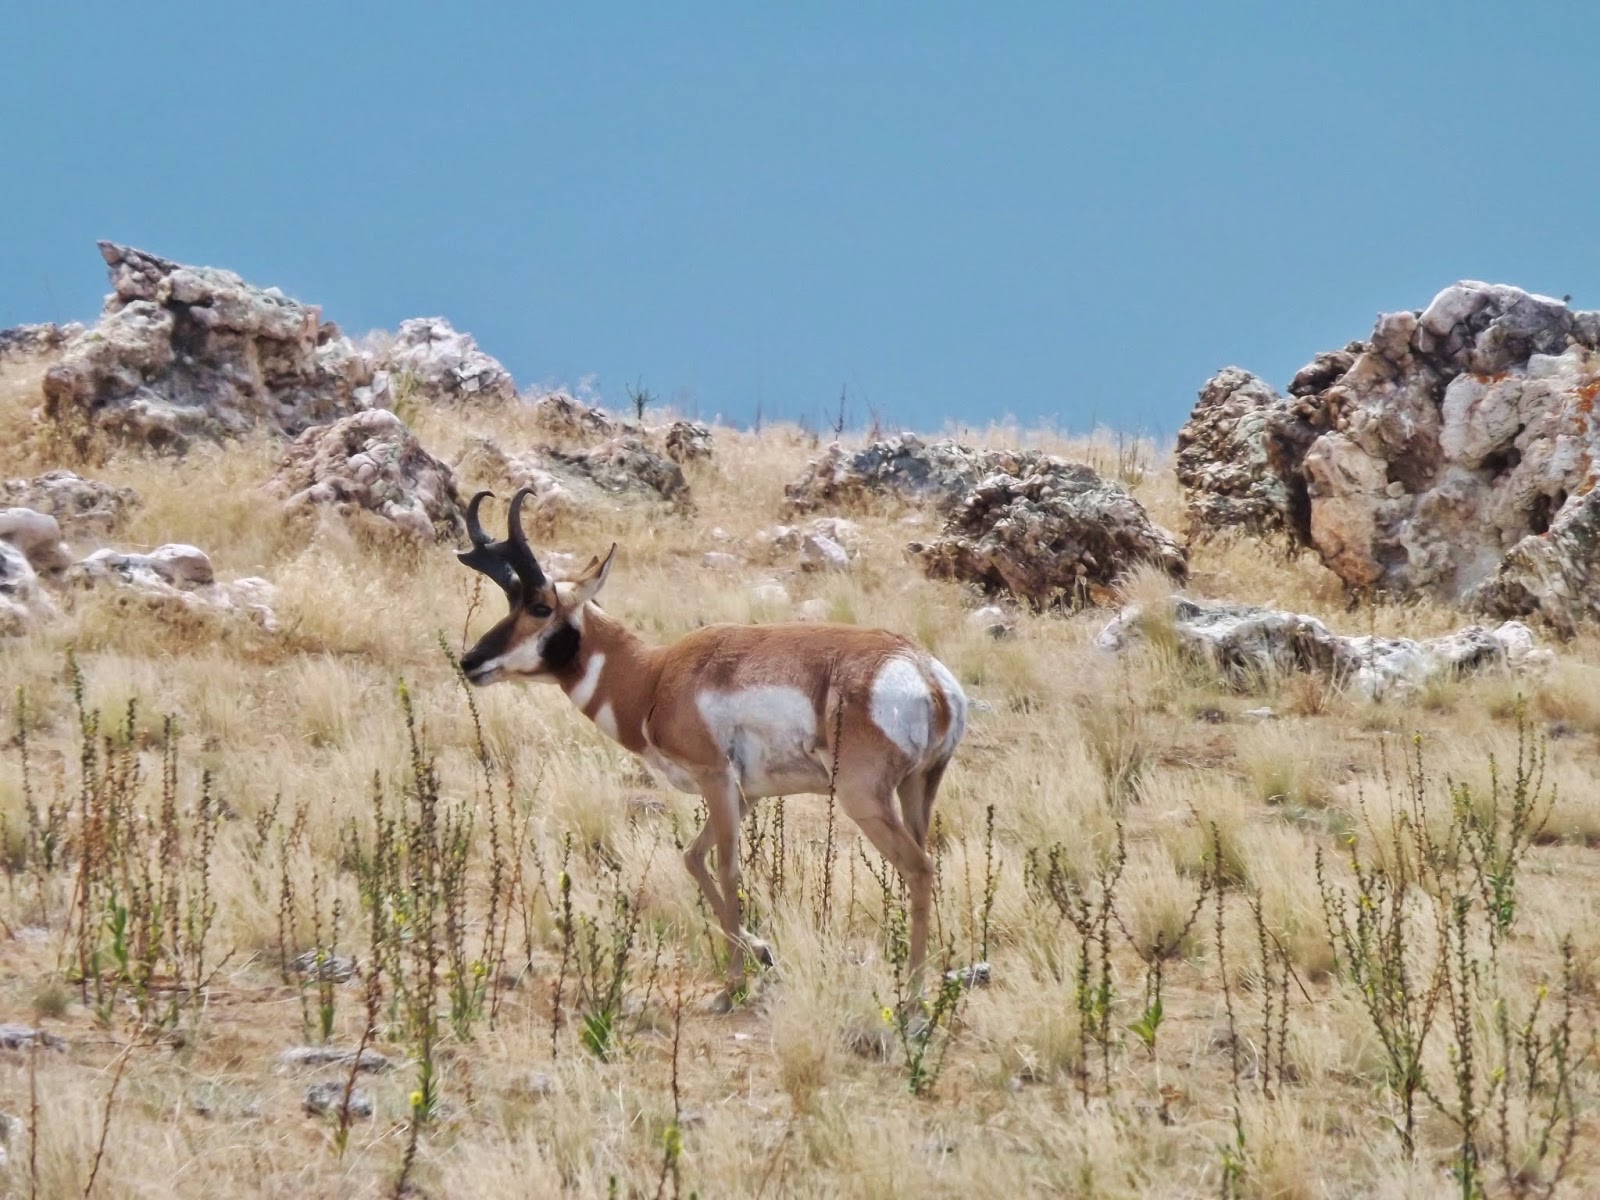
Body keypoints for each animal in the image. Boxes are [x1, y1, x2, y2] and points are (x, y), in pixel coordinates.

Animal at [455, 489, 968, 1008]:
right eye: (511, 600)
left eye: (540, 606)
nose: (470, 661)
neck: (656, 676)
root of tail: (924, 672)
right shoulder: (746, 795)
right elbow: (692, 858)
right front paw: (762, 951)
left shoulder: (716, 779)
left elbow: (727, 868)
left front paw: (732, 986)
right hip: (916, 791)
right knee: (925, 864)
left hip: (862, 798)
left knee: (919, 868)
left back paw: (912, 997)